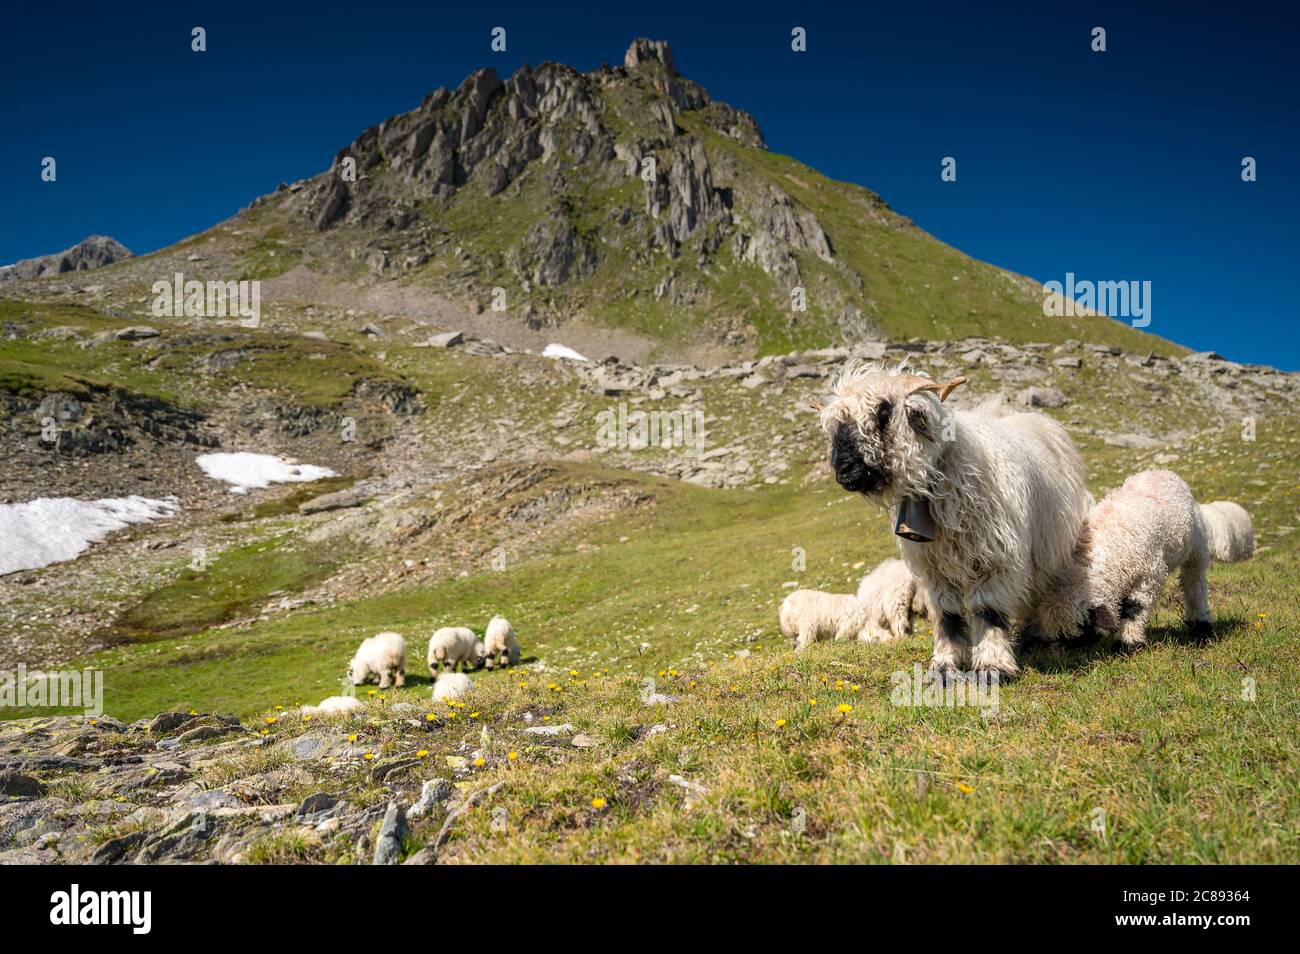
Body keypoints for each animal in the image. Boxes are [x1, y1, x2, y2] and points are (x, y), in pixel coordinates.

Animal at [819, 363, 1091, 680]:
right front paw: (945, 666)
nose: (844, 471)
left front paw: (993, 666)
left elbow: (988, 611)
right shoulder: (934, 569)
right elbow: (947, 615)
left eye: (883, 411)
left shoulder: (994, 558)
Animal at [1073, 470, 1213, 647]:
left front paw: (1127, 644)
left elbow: (1134, 608)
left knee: (1195, 585)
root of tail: (1162, 471)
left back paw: (1201, 625)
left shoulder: (1149, 574)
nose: (1075, 647)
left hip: (1196, 549)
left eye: (1084, 625)